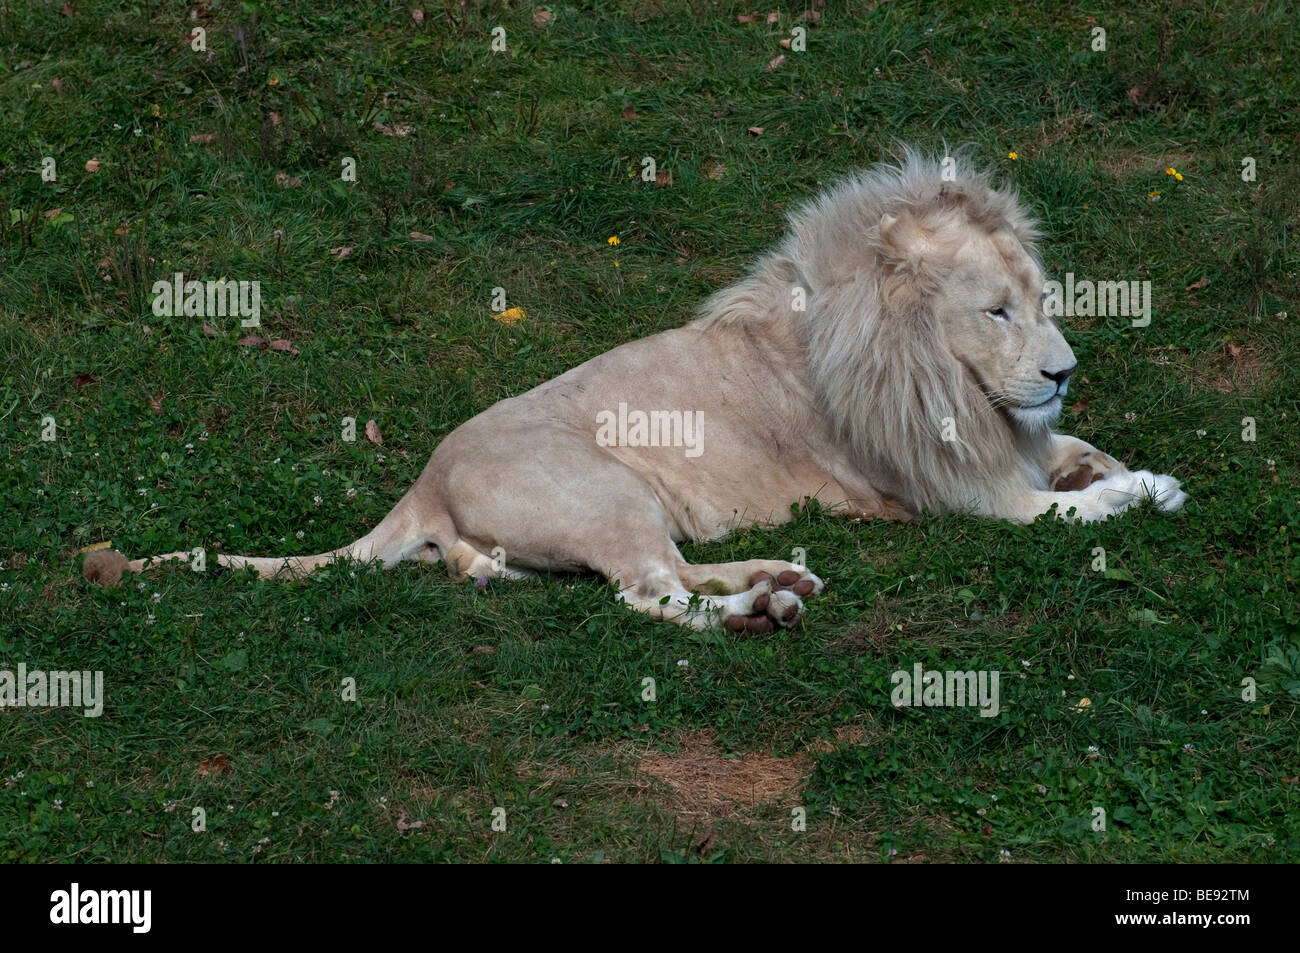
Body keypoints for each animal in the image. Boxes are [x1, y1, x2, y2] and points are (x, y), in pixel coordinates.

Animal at [83, 150, 1186, 631]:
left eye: (1043, 300)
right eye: (996, 311)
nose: (1064, 369)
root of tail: (424, 482)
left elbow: (1074, 452)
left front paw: (1115, 458)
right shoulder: (957, 493)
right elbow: (1069, 508)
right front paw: (1144, 491)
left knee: (659, 573)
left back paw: (781, 574)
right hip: (606, 492)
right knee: (649, 595)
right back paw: (759, 610)